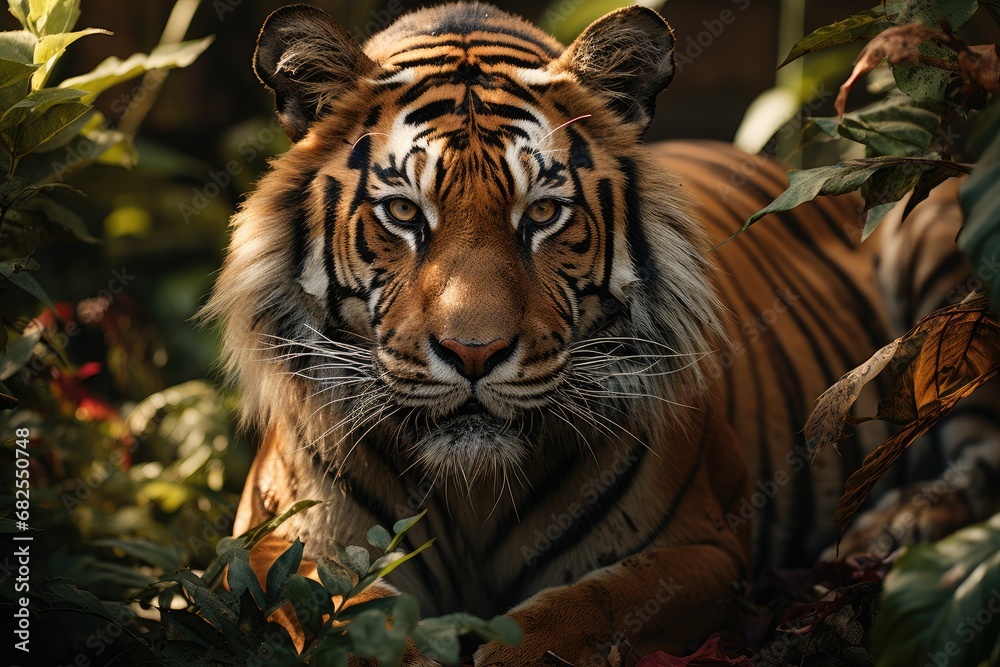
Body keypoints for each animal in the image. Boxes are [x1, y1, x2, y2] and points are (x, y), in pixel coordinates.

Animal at [201, 2, 1000, 664]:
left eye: (542, 213)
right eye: (402, 213)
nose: (473, 354)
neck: (471, 490)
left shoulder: (701, 548)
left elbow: (579, 612)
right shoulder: (274, 543)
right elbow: (355, 620)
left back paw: (895, 528)